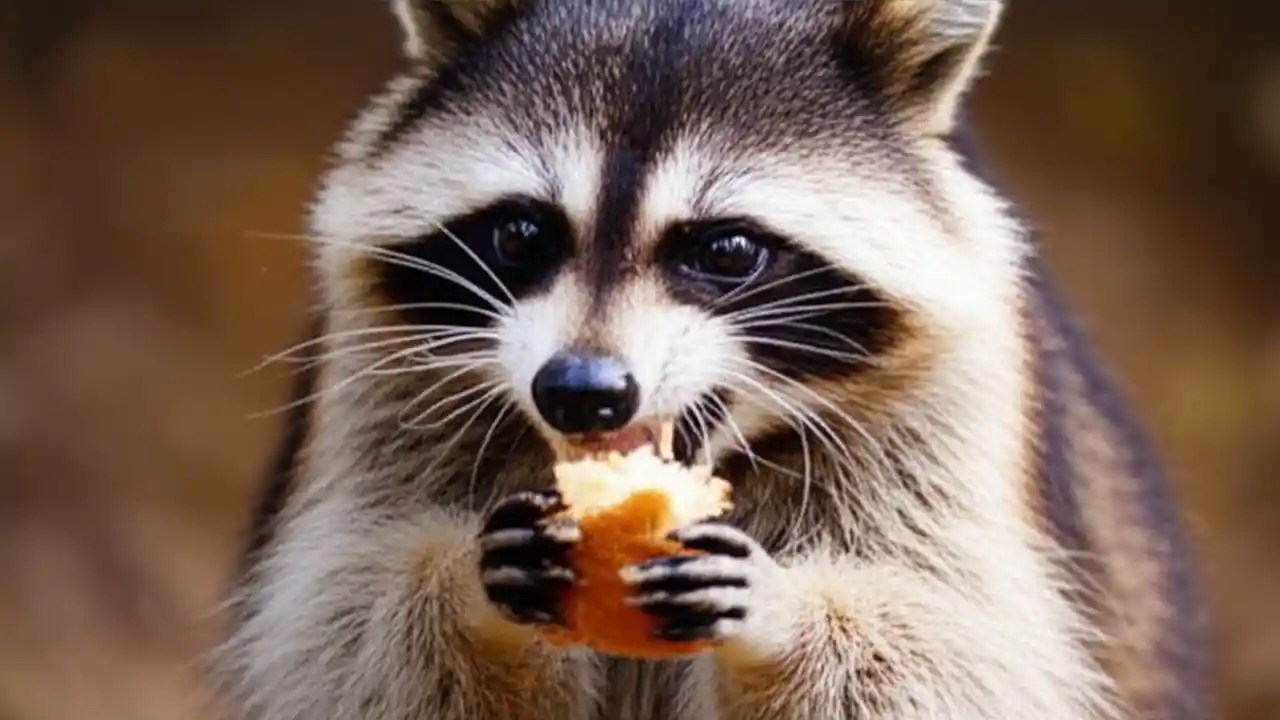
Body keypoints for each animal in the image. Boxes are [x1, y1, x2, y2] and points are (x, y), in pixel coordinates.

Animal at [217, 1, 1207, 718]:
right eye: (521, 233)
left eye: (726, 251)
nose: (581, 392)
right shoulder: (373, 376)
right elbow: (339, 627)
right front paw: (462, 581)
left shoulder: (956, 405)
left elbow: (953, 653)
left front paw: (785, 614)